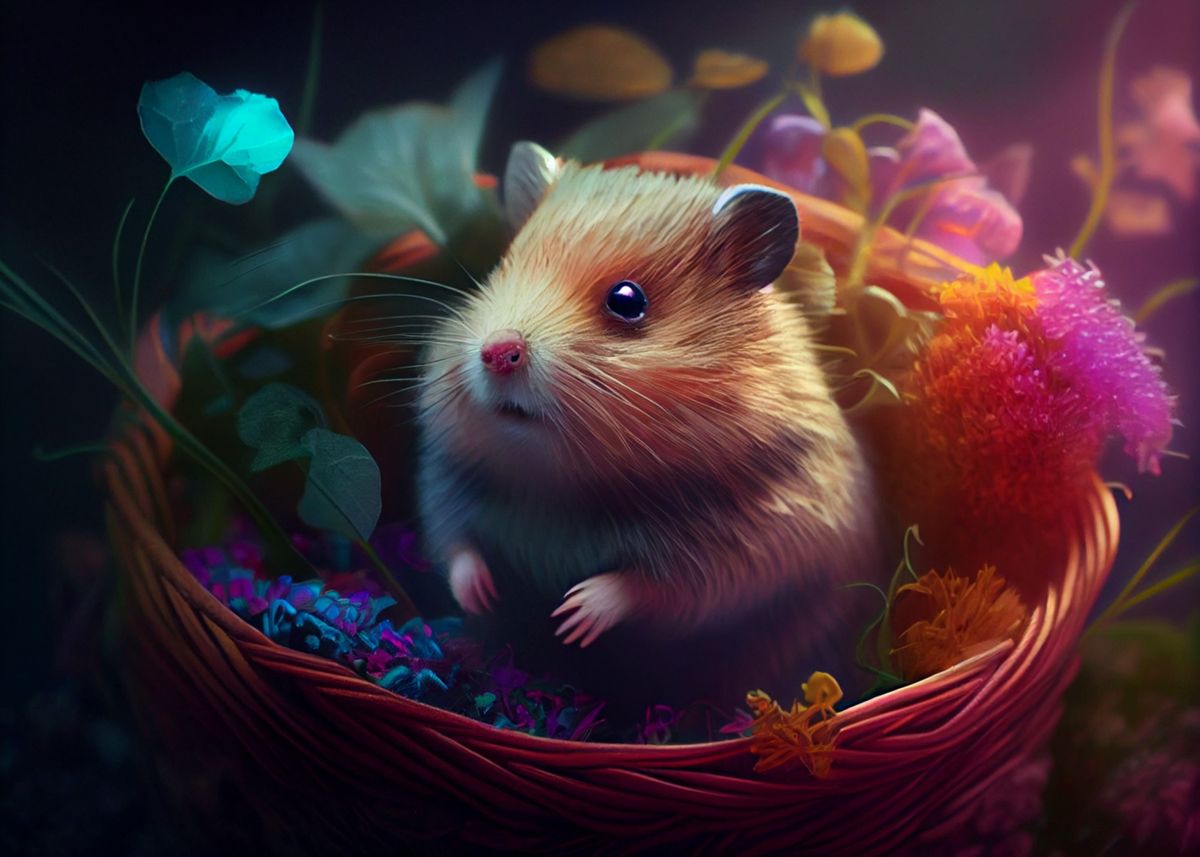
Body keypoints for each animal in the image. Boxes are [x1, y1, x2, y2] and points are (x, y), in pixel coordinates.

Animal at [415, 142, 879, 713]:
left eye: (627, 300)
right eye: (500, 271)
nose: (497, 352)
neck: (564, 488)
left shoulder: (762, 532)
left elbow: (661, 585)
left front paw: (573, 615)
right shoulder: (446, 481)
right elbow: (455, 543)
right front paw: (482, 596)